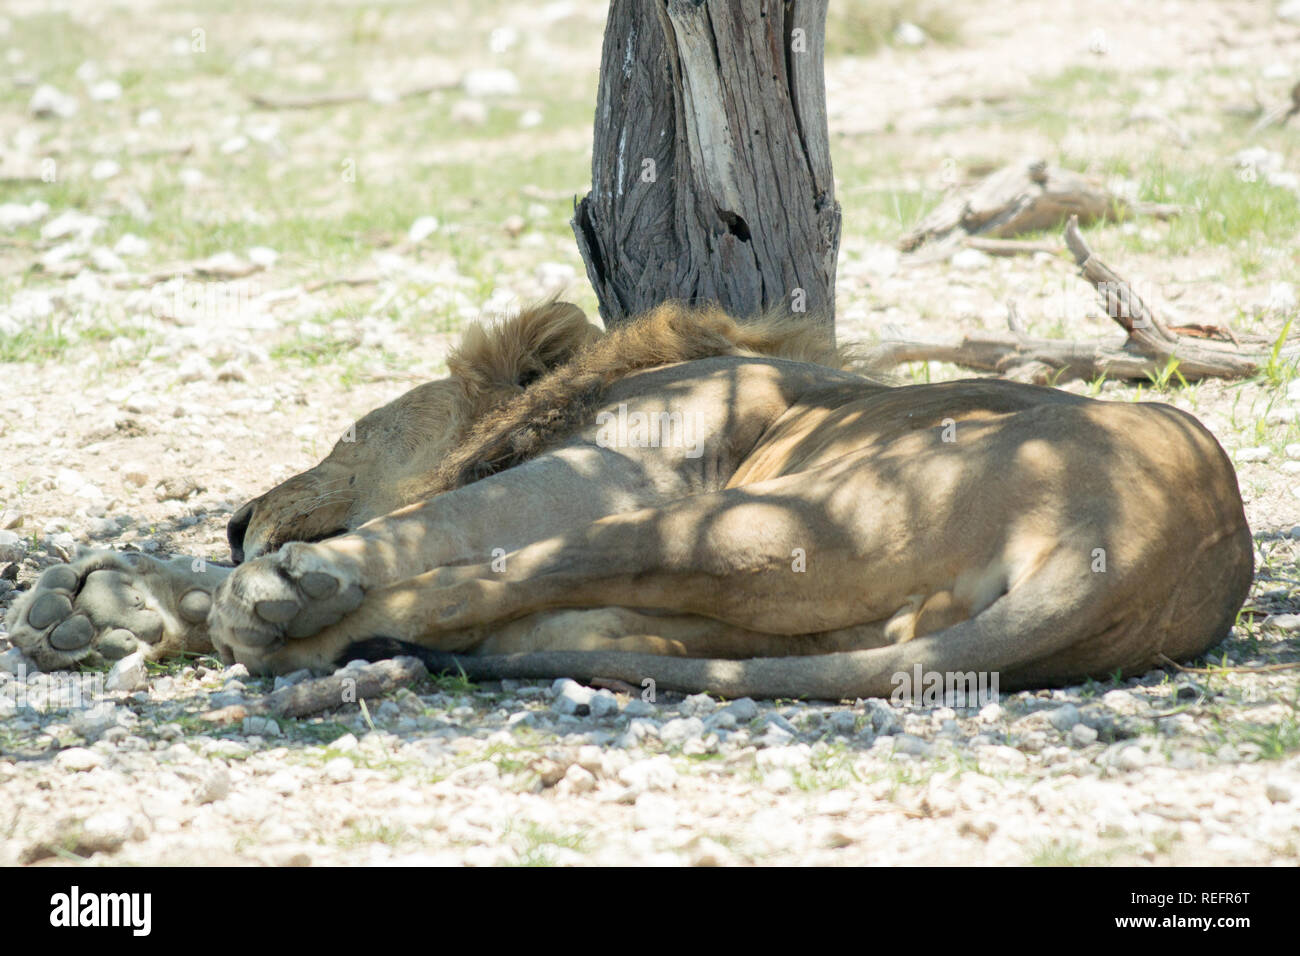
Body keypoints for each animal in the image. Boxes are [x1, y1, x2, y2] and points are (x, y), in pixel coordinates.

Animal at [5, 300, 1254, 700]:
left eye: (347, 432)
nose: (234, 518)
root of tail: (1135, 543)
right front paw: (94, 598)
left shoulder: (607, 463)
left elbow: (420, 525)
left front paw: (213, 587)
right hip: (767, 595)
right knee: (545, 620)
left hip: (733, 515)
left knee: (467, 584)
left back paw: (282, 612)